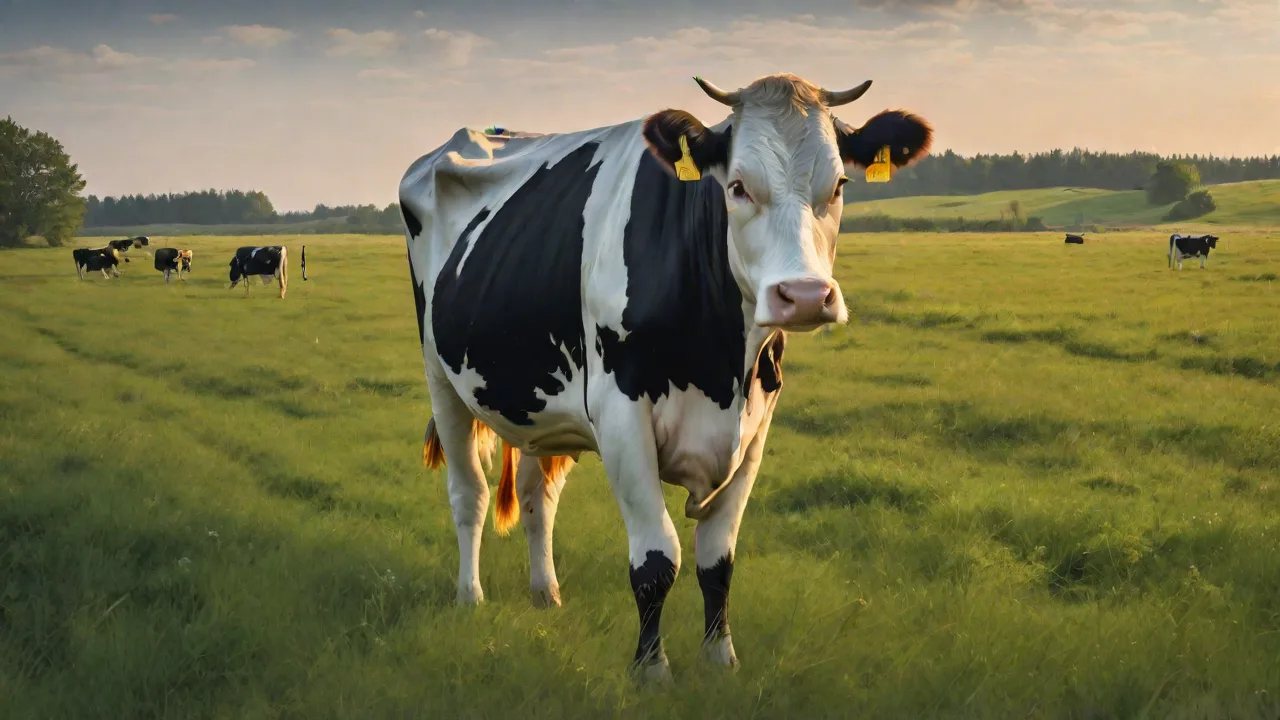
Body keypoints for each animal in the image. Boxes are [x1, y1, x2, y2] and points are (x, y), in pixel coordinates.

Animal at [399, 72, 933, 682]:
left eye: (840, 183)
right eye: (738, 186)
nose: (803, 296)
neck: (721, 366)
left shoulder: (756, 424)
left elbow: (717, 559)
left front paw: (721, 660)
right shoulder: (620, 415)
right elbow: (657, 558)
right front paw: (651, 670)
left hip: (542, 404)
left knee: (538, 497)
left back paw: (545, 594)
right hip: (440, 378)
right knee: (470, 494)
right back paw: (470, 597)